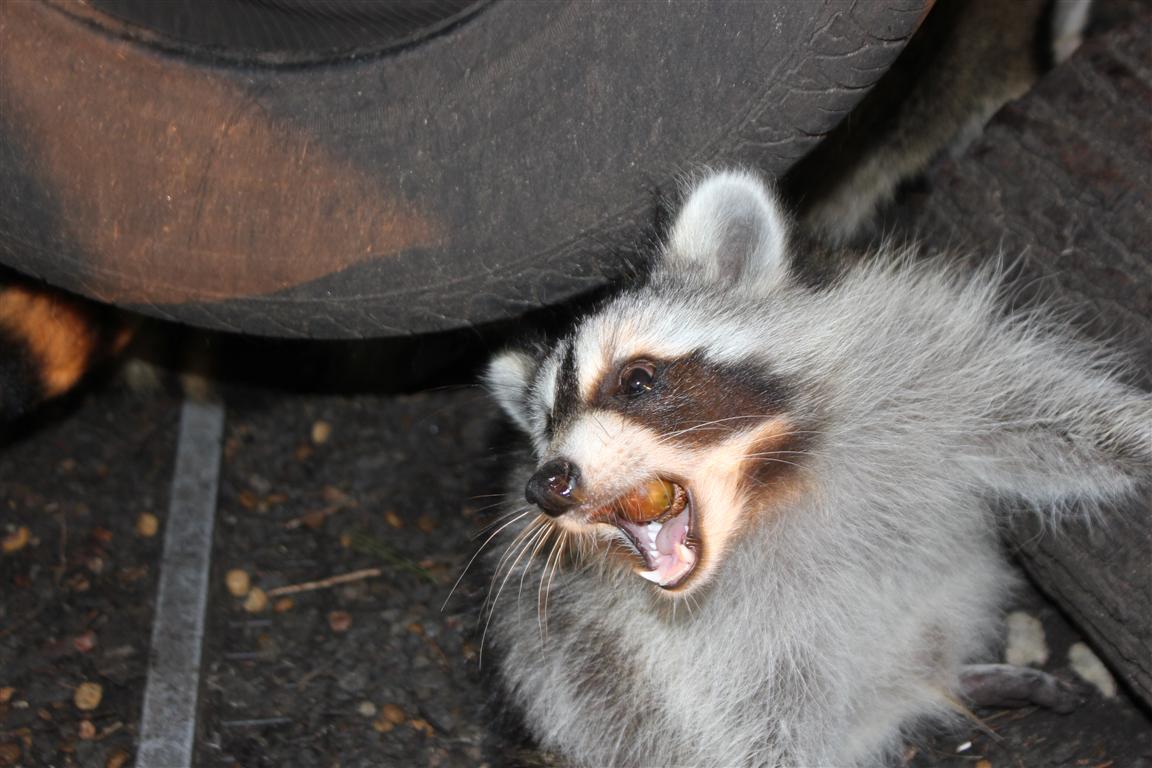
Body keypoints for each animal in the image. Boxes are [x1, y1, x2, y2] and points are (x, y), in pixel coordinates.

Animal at [482, 170, 1152, 767]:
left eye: (638, 380)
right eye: (546, 426)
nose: (547, 483)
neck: (769, 492)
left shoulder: (917, 367)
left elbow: (1032, 406)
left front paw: (1136, 439)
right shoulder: (693, 654)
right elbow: (752, 729)